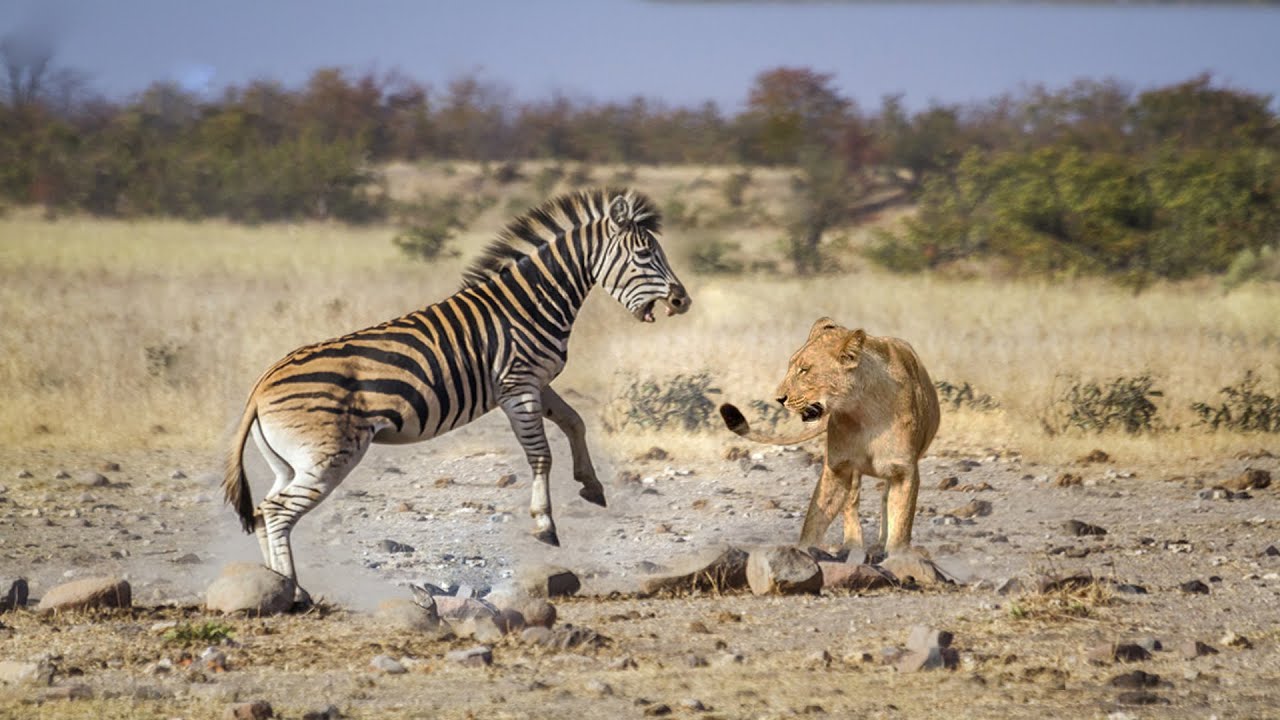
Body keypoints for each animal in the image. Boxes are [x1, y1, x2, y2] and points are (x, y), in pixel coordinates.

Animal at [222, 188, 690, 602]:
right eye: (645, 255)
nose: (682, 301)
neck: (530, 303)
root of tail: (260, 387)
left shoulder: (538, 381)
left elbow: (575, 422)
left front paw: (591, 485)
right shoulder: (517, 384)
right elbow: (540, 455)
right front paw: (544, 524)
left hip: (289, 462)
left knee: (263, 513)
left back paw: (284, 589)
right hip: (327, 457)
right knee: (277, 512)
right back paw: (294, 591)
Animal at [720, 317, 940, 558]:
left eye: (804, 370)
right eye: (792, 366)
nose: (779, 398)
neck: (864, 412)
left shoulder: (904, 471)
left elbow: (901, 522)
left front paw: (897, 557)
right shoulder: (837, 468)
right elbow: (816, 517)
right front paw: (803, 553)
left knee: (883, 500)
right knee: (851, 502)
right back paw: (852, 544)